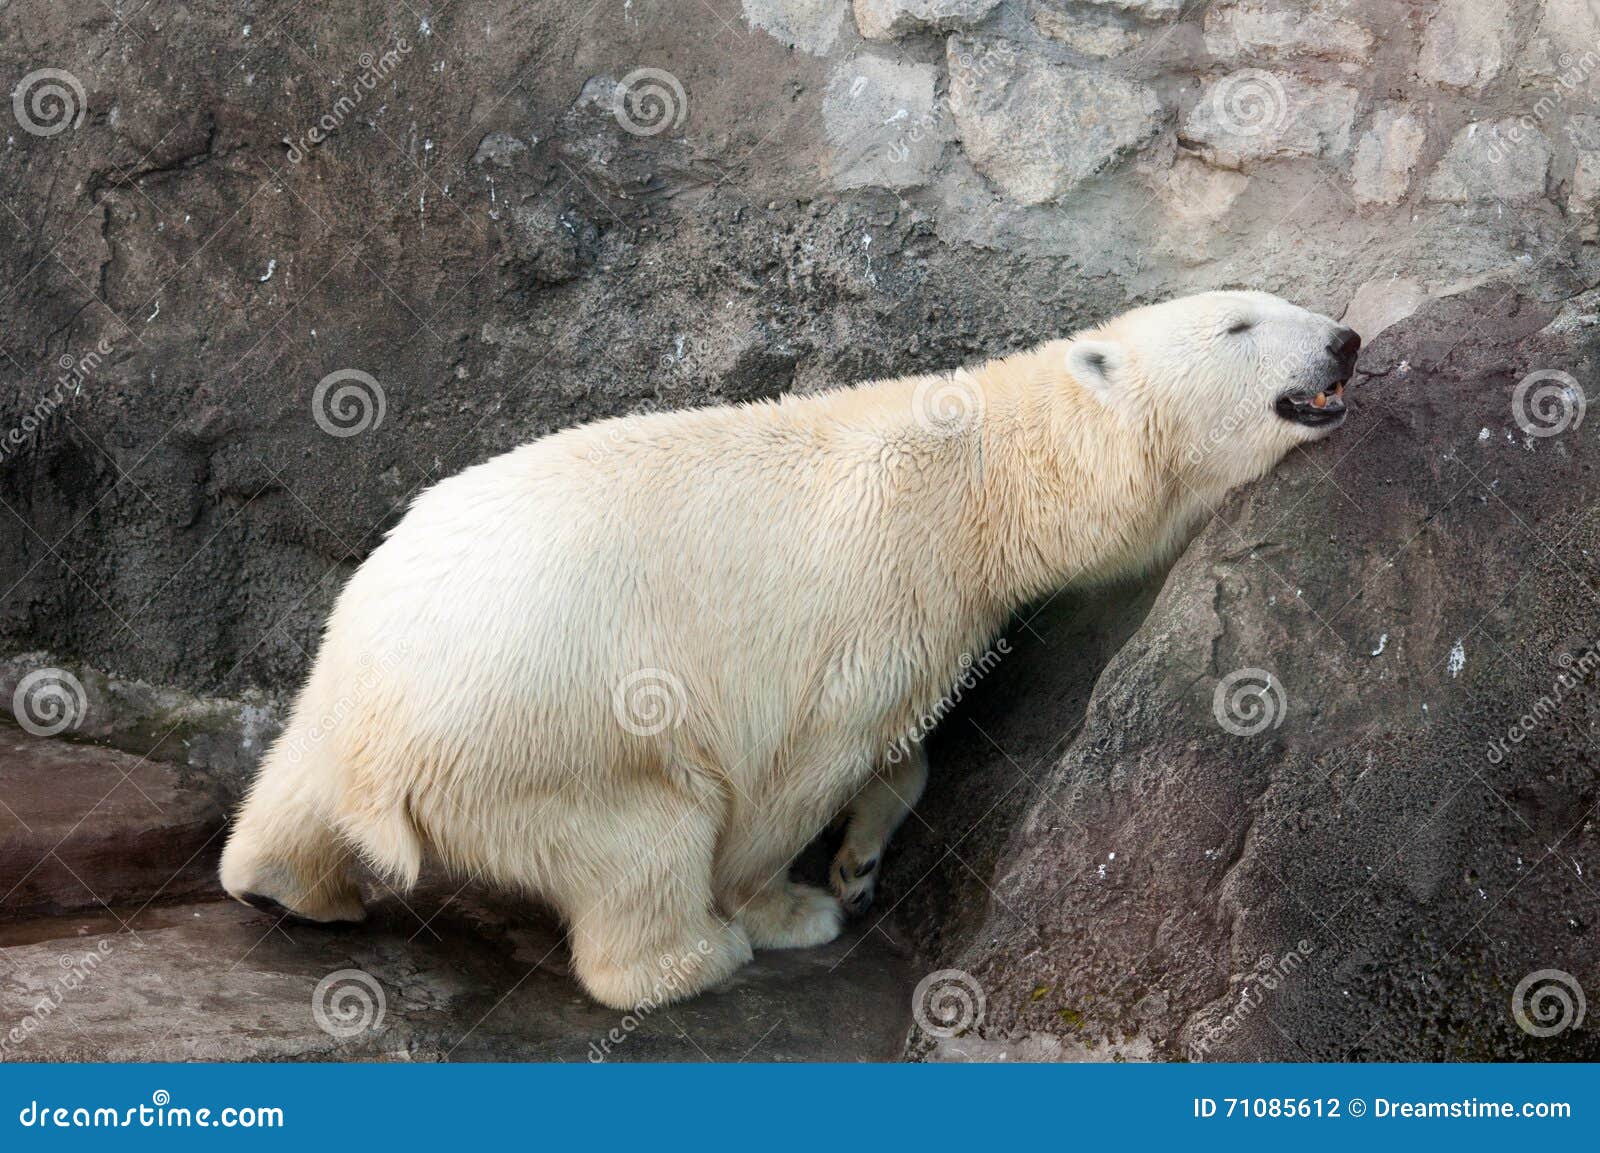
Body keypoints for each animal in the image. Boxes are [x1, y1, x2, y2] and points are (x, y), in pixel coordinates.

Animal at [220, 290, 1360, 1010]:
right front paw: (795, 904)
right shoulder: (875, 590)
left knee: (287, 788)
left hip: (343, 671)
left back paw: (284, 882)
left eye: (1282, 299)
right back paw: (694, 955)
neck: (980, 481)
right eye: (1242, 319)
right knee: (647, 834)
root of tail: (379, 741)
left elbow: (904, 746)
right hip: (546, 739)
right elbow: (803, 762)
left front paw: (861, 860)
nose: (1346, 340)